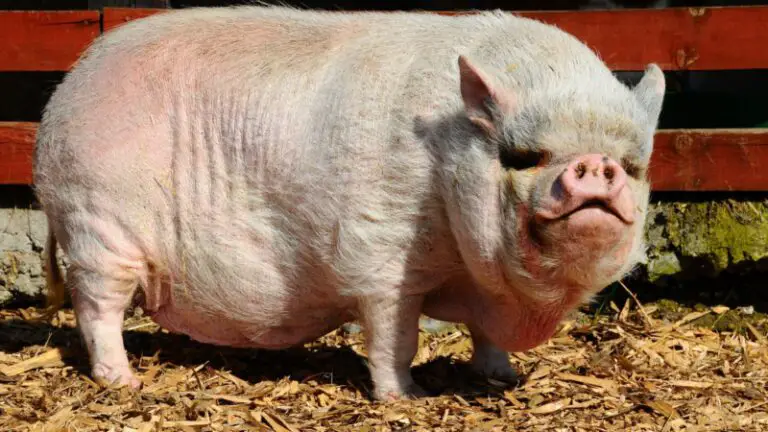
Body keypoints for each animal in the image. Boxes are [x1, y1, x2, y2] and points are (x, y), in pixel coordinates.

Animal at [33, 5, 665, 400]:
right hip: (97, 220)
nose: (596, 166)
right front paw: (407, 398)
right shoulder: (382, 254)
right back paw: (124, 383)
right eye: (523, 156)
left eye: (633, 165)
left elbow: (484, 337)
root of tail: (60, 100)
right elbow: (395, 336)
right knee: (98, 310)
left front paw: (502, 378)